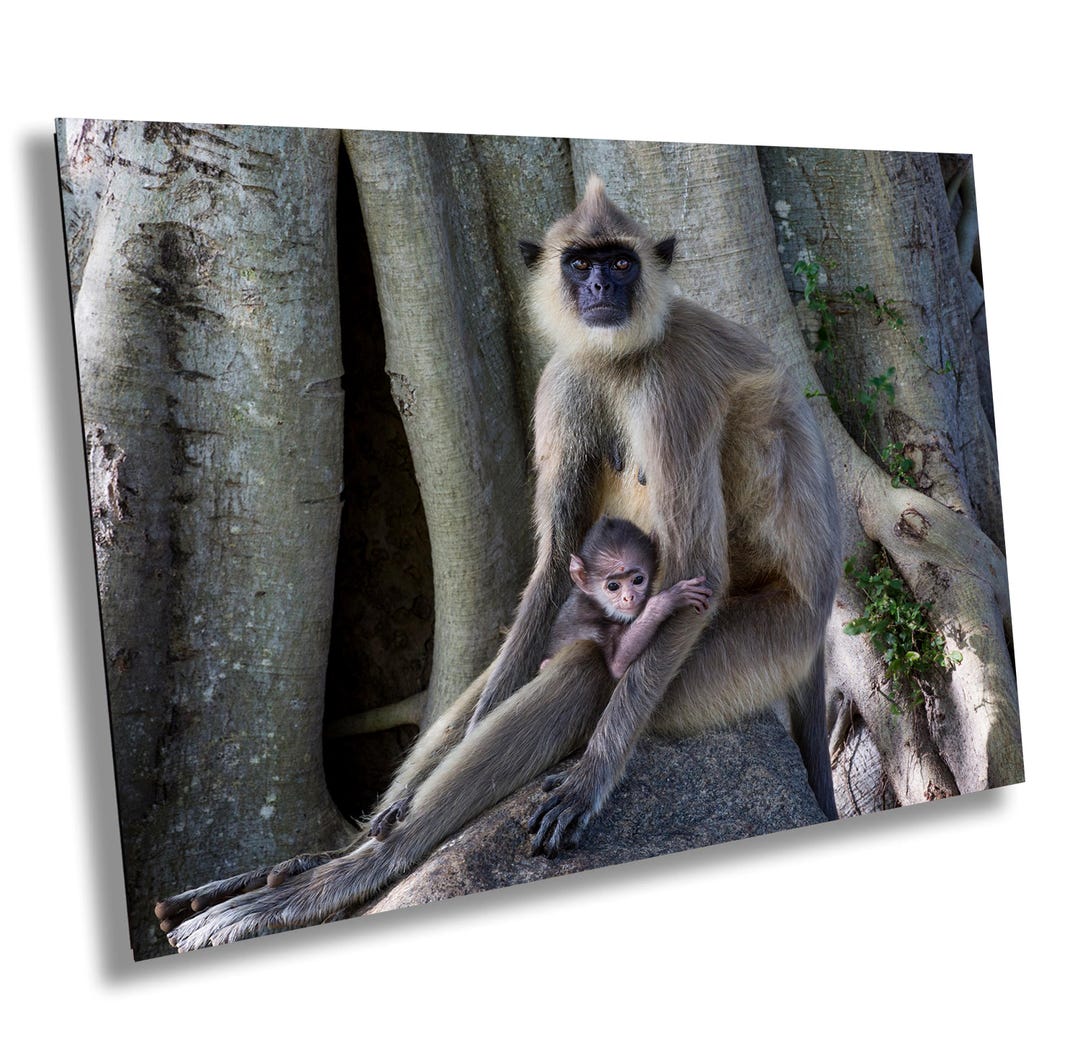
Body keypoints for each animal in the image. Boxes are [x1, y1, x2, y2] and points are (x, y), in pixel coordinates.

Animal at [541, 515, 712, 678]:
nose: (628, 597)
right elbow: (616, 665)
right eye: (613, 586)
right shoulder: (588, 627)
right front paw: (667, 600)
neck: (598, 605)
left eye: (638, 580)